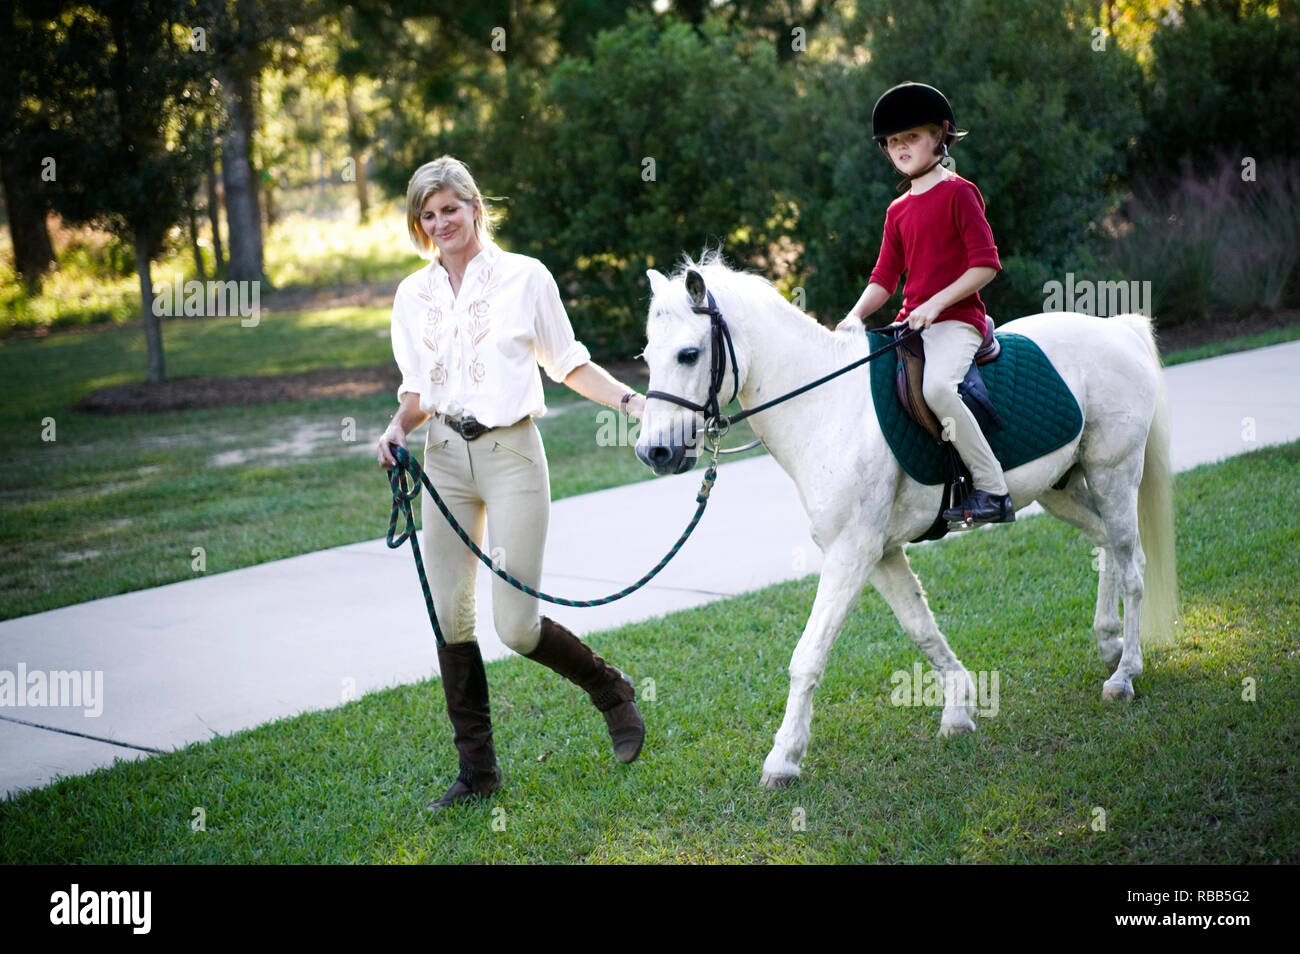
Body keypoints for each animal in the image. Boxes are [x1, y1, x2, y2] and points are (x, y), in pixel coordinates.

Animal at [635, 257, 1179, 789]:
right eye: (647, 355)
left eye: (688, 354)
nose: (653, 453)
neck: (827, 407)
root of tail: (1118, 330)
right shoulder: (881, 554)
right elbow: (921, 629)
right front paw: (958, 710)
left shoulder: (851, 552)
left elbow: (808, 655)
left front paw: (783, 758)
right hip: (1062, 488)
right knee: (1107, 548)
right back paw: (1108, 641)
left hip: (1113, 474)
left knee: (1133, 567)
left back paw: (1124, 674)